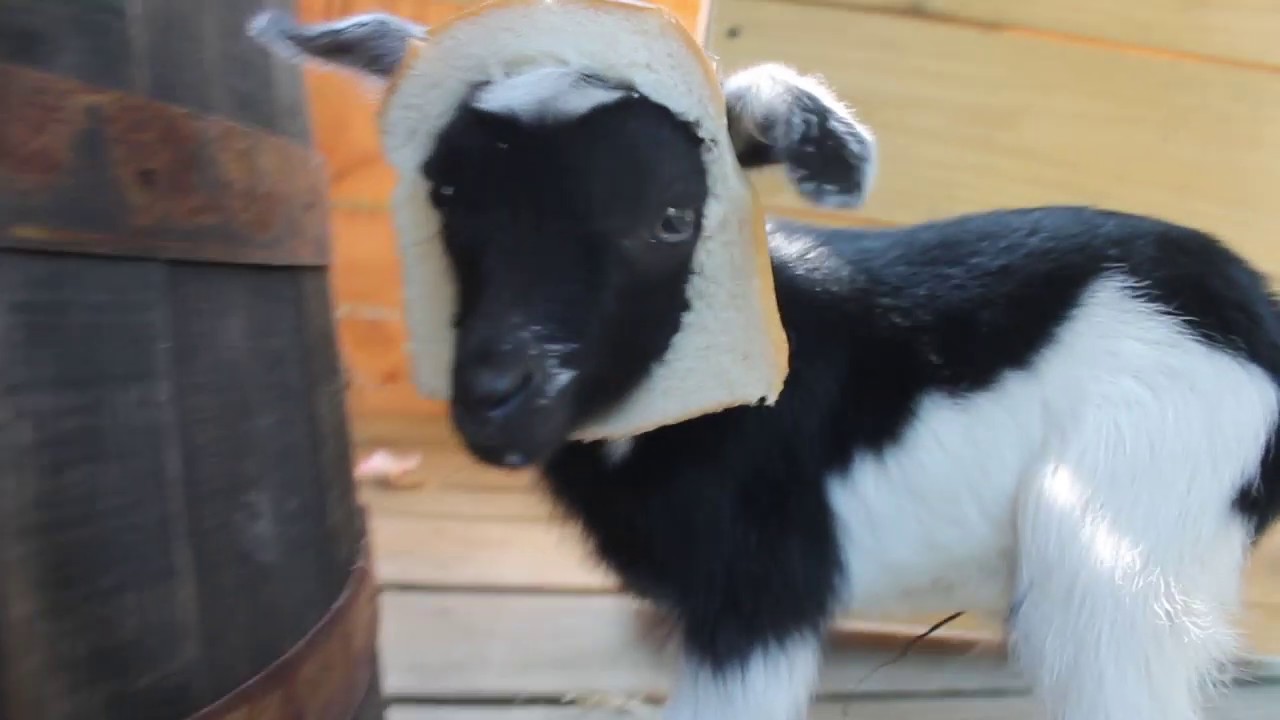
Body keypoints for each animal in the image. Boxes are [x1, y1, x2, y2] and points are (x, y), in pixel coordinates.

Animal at [251, 11, 1280, 720]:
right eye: (448, 194)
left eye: (673, 216)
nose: (495, 399)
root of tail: (1253, 311)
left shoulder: (761, 592)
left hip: (1126, 539)